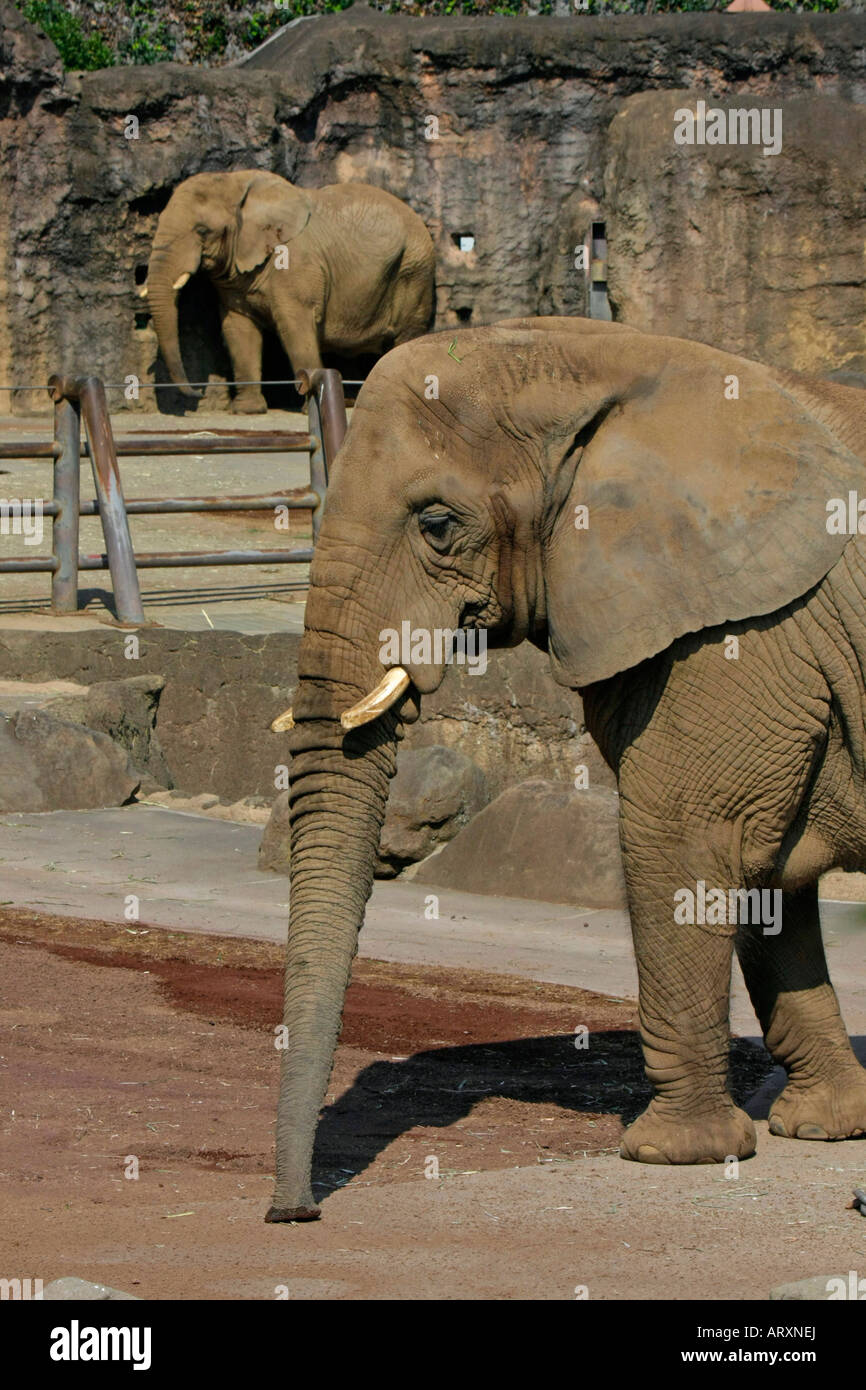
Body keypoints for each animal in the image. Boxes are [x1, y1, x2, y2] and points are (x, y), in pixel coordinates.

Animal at [144, 170, 435, 413]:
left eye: (202, 230)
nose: (197, 394)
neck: (234, 181)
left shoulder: (296, 263)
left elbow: (294, 325)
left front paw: (310, 408)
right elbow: (238, 329)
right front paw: (247, 410)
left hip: (414, 270)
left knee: (406, 336)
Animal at [265, 316, 866, 1223]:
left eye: (436, 523)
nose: (294, 1213)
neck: (605, 357)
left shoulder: (745, 630)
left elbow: (690, 838)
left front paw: (672, 1153)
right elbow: (769, 873)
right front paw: (826, 1127)